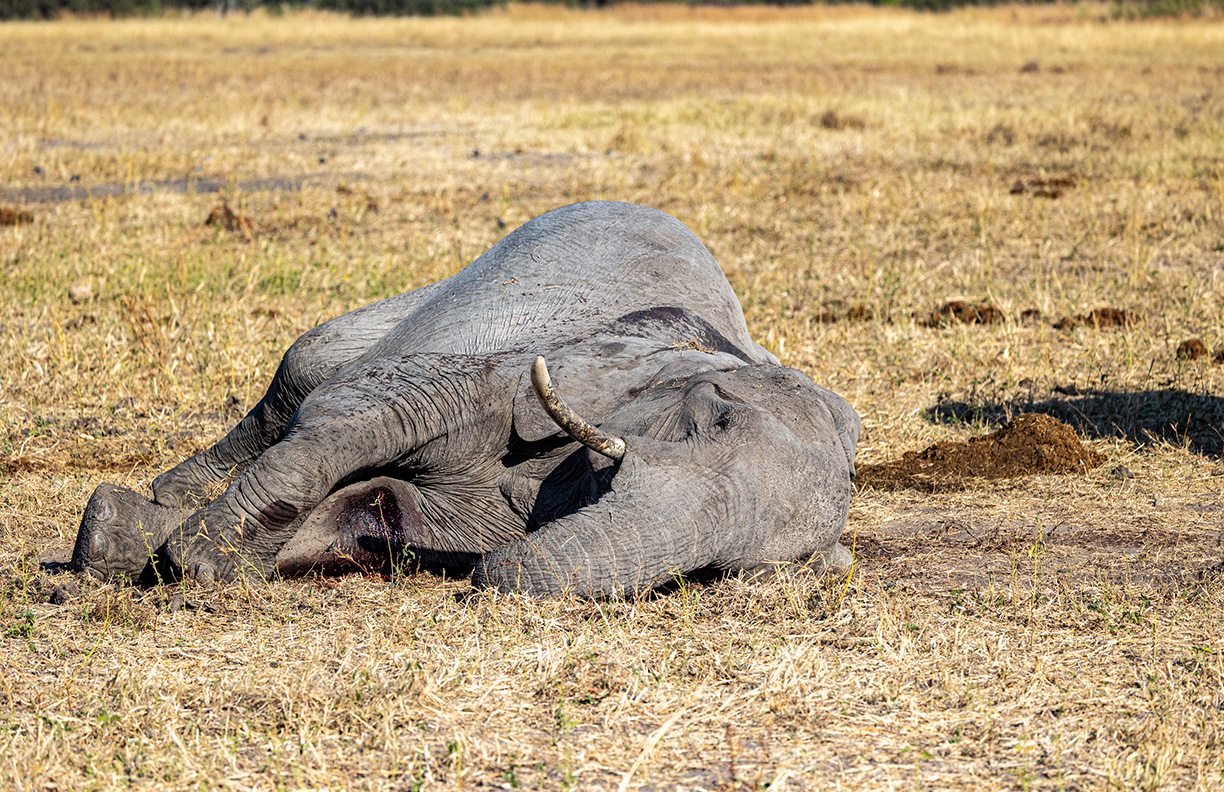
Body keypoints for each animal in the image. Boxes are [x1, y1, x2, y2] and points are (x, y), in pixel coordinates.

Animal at [65, 201, 860, 598]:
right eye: (707, 417)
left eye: (722, 573)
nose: (489, 575)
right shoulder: (525, 377)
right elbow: (357, 415)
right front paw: (195, 560)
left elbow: (372, 511)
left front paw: (132, 545)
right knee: (298, 379)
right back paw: (170, 492)